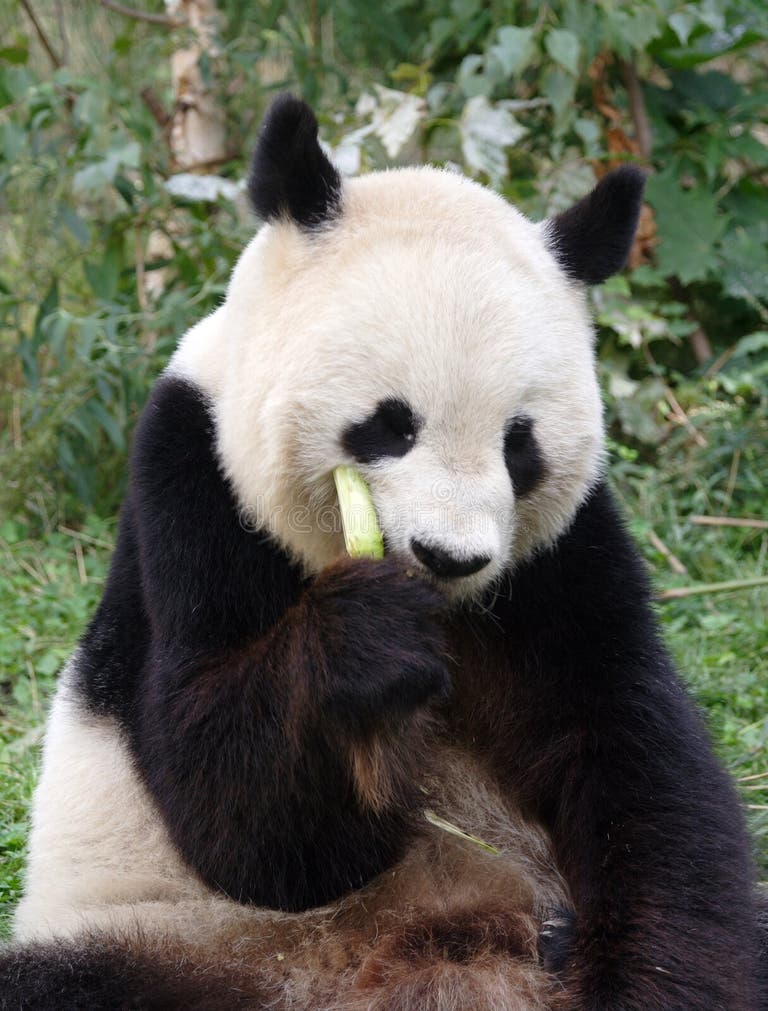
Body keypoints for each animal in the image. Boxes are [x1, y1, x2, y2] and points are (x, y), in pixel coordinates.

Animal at [1, 94, 764, 1010]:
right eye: (391, 425)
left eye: (519, 444)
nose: (450, 555)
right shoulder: (190, 485)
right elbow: (236, 814)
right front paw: (369, 647)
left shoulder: (561, 558)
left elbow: (634, 758)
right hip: (175, 938)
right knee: (63, 980)